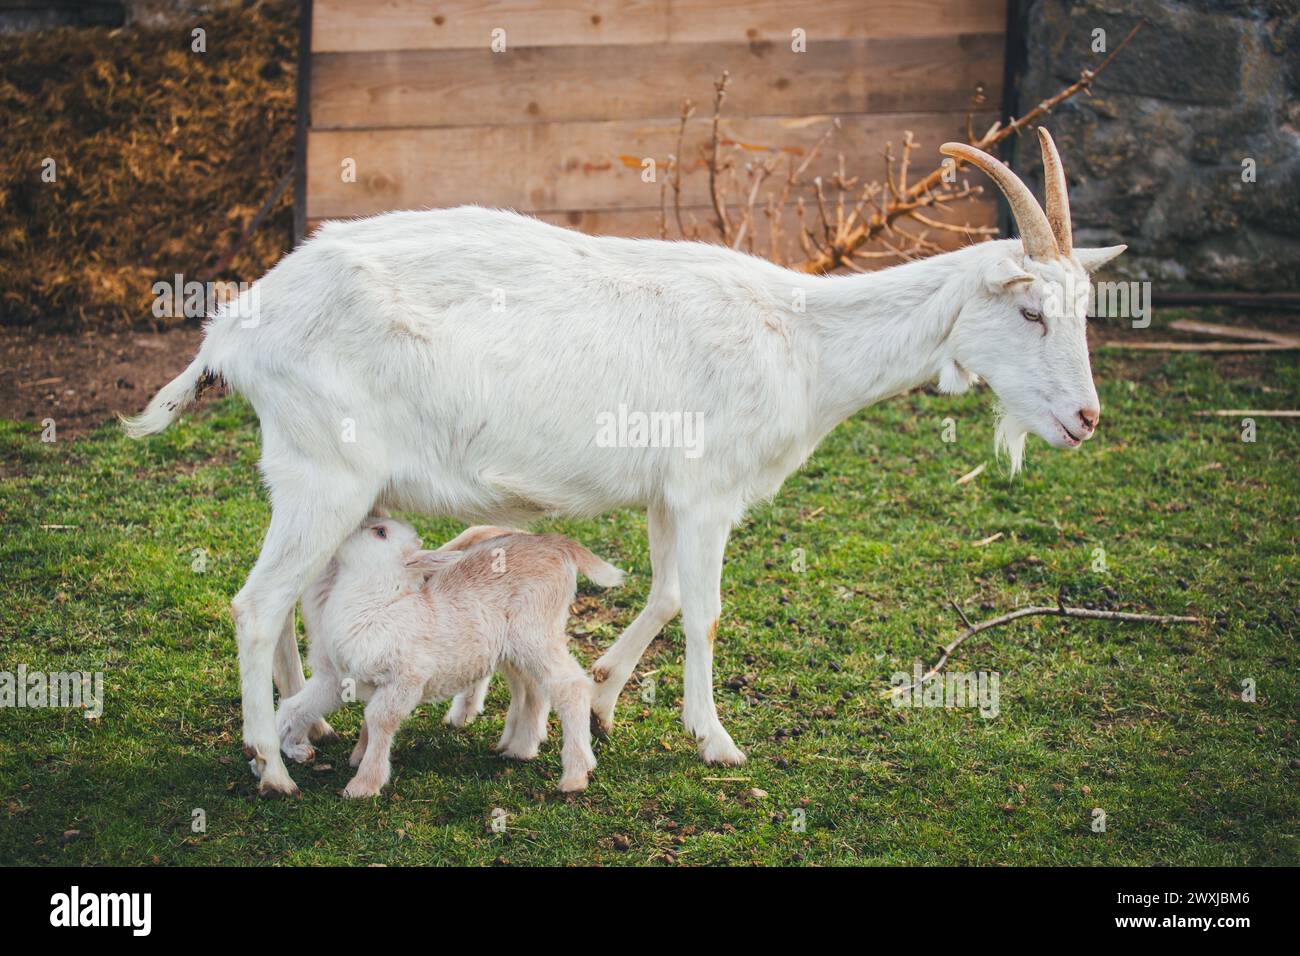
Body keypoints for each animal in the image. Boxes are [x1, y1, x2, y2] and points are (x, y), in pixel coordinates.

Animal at [277, 518, 622, 795]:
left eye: (380, 532)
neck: (378, 607)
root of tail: (556, 544)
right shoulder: (339, 678)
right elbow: (297, 707)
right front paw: (294, 749)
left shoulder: (408, 676)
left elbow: (379, 719)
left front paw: (364, 784)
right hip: (514, 645)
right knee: (533, 688)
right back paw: (520, 748)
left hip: (536, 630)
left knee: (570, 686)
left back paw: (575, 774)